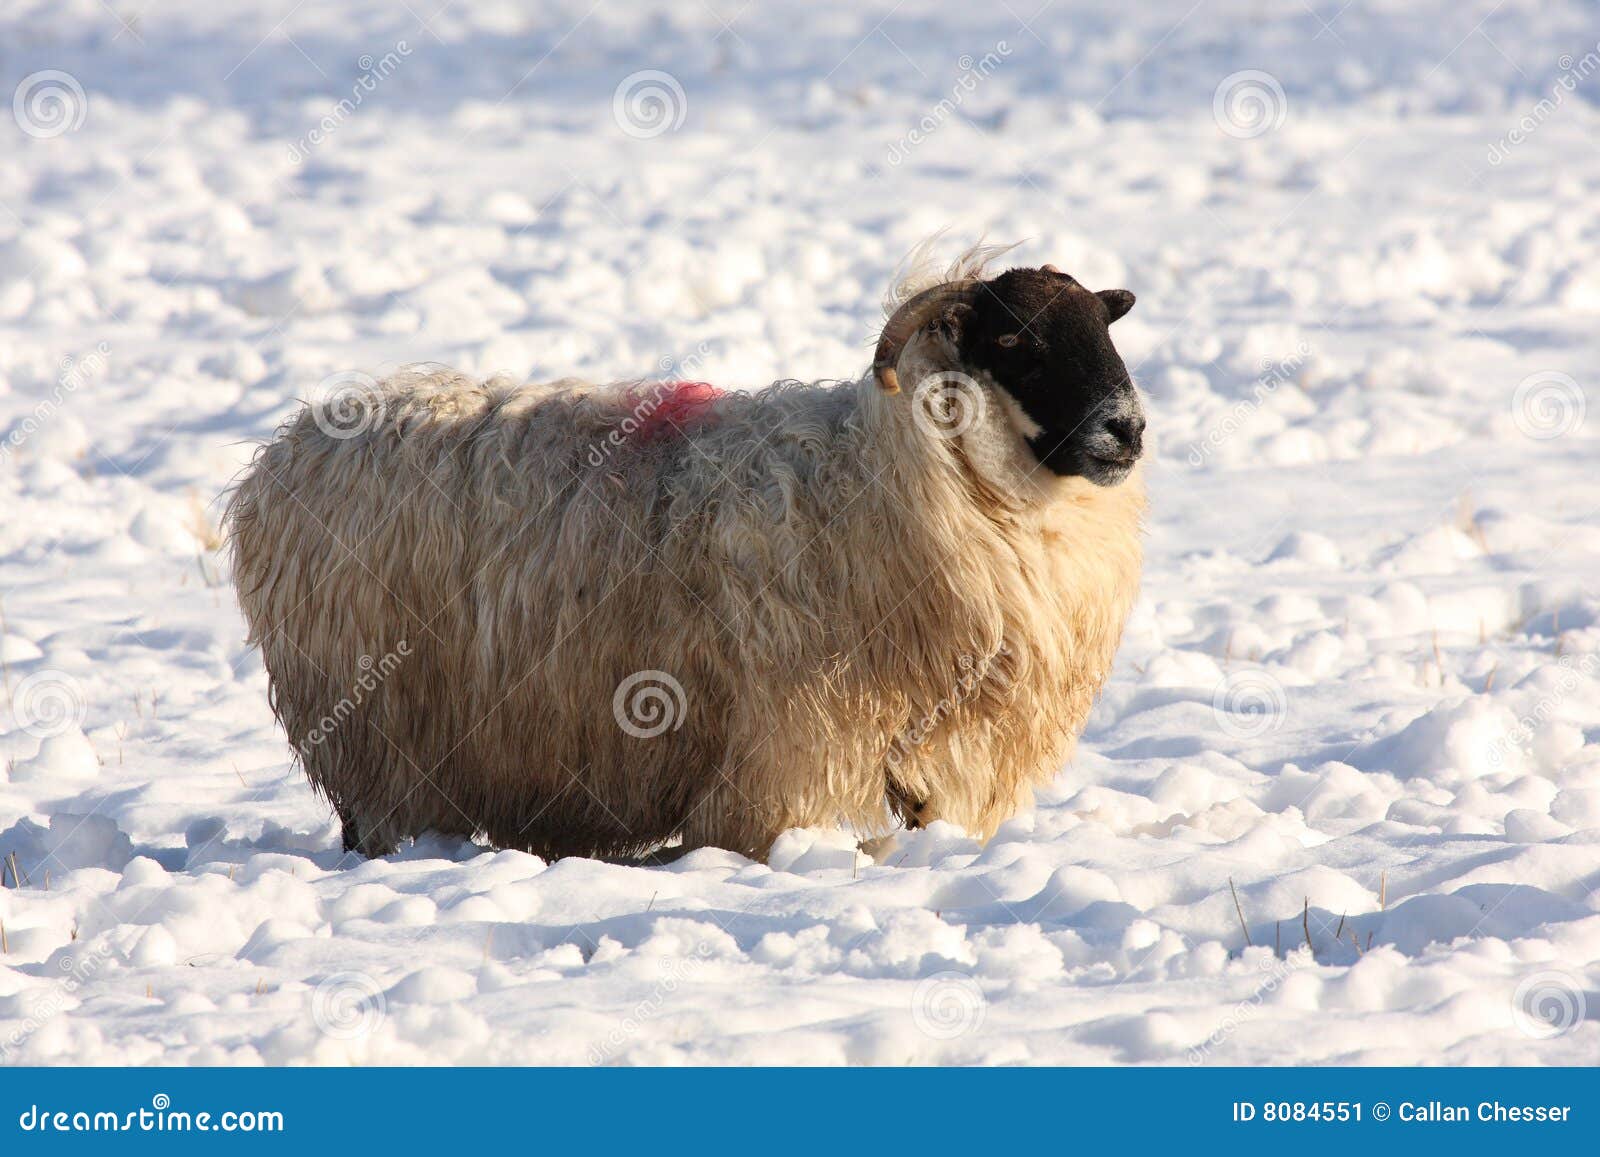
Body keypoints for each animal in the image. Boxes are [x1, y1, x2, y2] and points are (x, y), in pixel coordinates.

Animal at [226, 246, 1147, 861]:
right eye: (1015, 341)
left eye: (1104, 329)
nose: (1127, 428)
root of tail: (287, 447)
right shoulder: (791, 743)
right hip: (378, 727)